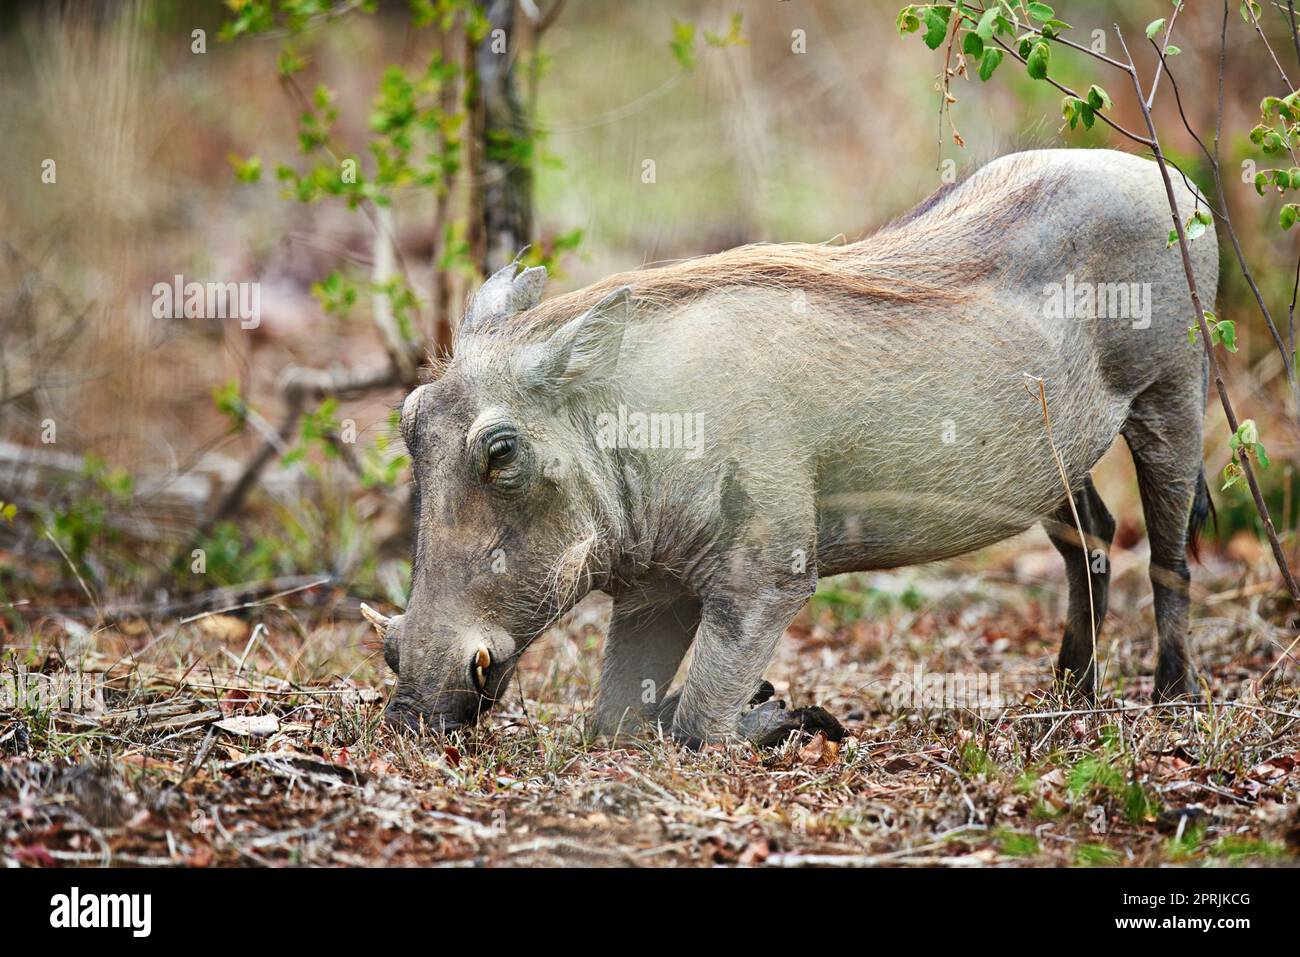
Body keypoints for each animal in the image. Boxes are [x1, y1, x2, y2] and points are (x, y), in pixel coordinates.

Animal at [373, 148, 1217, 747]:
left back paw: (1174, 704)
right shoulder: (653, 589)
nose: (410, 714)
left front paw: (782, 716)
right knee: (1094, 537)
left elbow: (699, 726)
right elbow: (613, 719)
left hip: (1174, 394)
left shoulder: (767, 575)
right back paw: (1069, 696)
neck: (640, 428)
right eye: (410, 417)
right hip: (1055, 458)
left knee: (1169, 553)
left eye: (501, 452)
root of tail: (1178, 178)